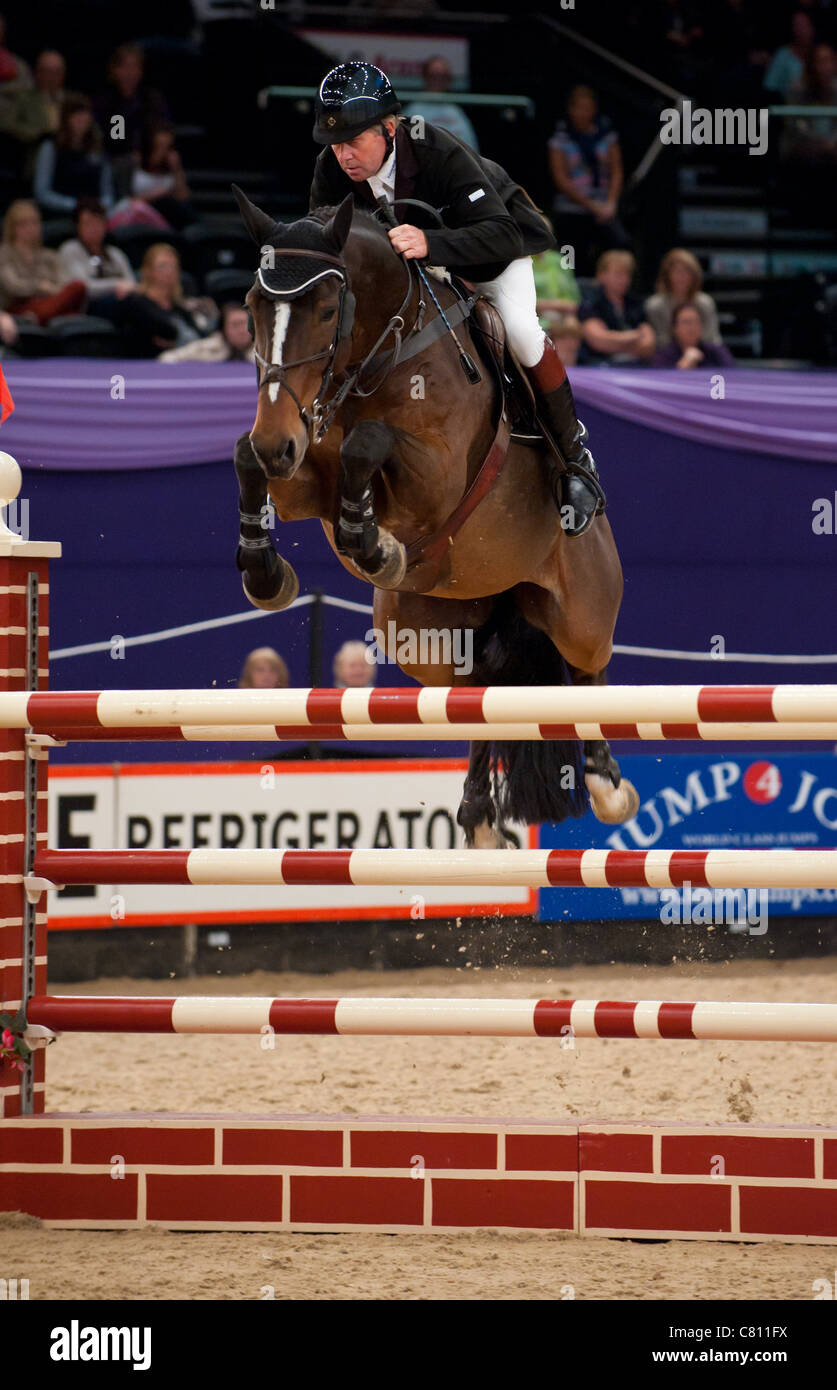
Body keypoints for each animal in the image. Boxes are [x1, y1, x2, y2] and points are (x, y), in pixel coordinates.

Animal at [232, 186, 639, 845]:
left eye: (327, 309)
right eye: (251, 307)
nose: (278, 444)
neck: (379, 355)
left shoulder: (437, 478)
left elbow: (367, 443)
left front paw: (375, 545)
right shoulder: (302, 467)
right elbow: (255, 458)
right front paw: (269, 574)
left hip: (582, 608)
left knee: (588, 673)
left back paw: (606, 785)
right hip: (422, 634)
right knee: (478, 693)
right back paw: (478, 815)